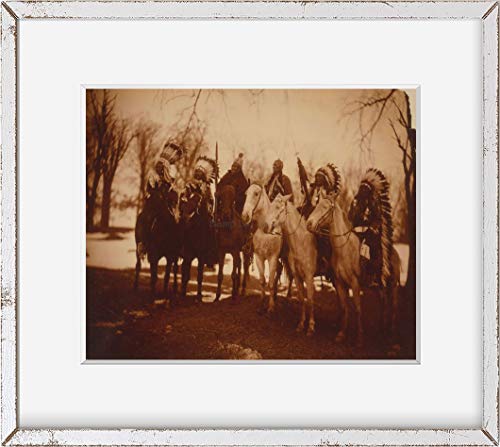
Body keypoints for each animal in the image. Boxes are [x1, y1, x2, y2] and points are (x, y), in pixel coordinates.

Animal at [242, 184, 286, 314]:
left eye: (256, 193)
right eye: (246, 194)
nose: (245, 216)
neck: (266, 231)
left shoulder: (273, 258)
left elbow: (270, 283)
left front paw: (271, 307)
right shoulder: (259, 257)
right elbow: (262, 281)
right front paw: (261, 304)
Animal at [264, 193, 318, 336]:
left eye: (278, 207)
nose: (266, 226)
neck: (301, 243)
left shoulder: (309, 276)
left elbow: (310, 299)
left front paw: (311, 327)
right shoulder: (297, 276)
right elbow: (302, 298)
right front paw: (301, 324)